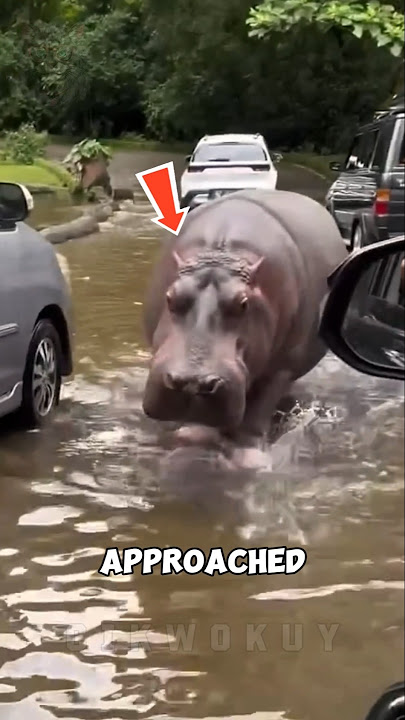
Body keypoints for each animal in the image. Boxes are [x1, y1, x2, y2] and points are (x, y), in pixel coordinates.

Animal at [142, 189, 347, 448]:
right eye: (170, 297)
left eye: (243, 303)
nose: (191, 382)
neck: (222, 253)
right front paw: (190, 434)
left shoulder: (283, 367)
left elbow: (257, 413)